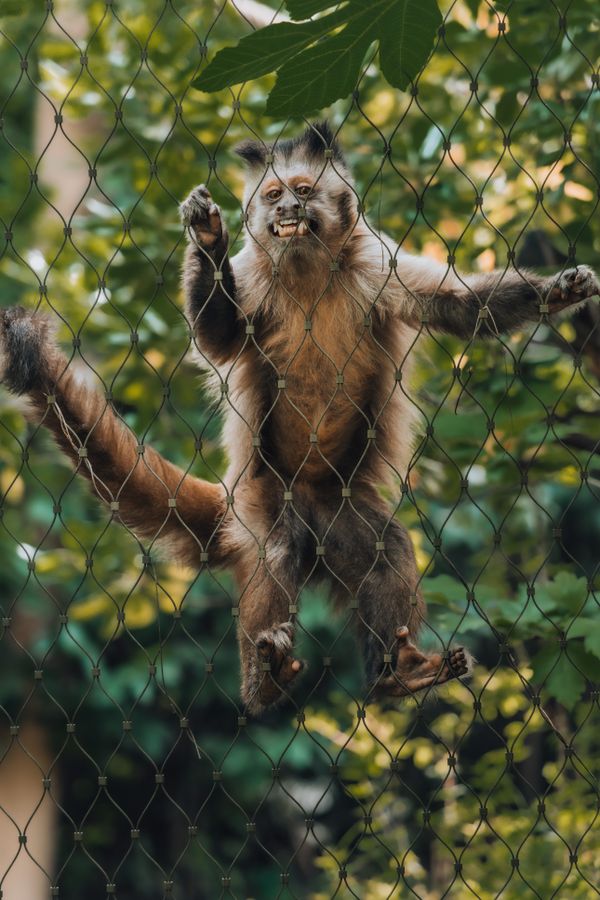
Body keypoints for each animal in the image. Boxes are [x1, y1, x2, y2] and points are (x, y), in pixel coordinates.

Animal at [1, 121, 598, 715]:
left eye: (304, 191)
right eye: (273, 195)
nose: (288, 208)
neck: (308, 266)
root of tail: (307, 507)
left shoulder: (375, 260)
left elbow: (459, 307)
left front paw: (558, 293)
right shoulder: (252, 273)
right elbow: (219, 341)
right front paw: (208, 239)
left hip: (340, 506)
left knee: (384, 549)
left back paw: (399, 674)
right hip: (261, 497)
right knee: (277, 549)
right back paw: (265, 680)